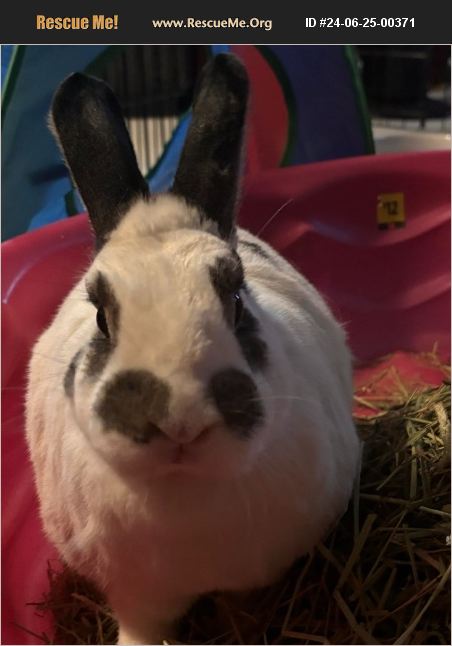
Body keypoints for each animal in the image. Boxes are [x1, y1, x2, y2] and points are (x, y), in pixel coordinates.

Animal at [25, 53, 360, 645]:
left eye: (236, 301)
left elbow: (241, 616)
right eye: (100, 316)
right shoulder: (136, 596)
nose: (178, 418)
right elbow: (140, 629)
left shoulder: (254, 578)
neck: (181, 497)